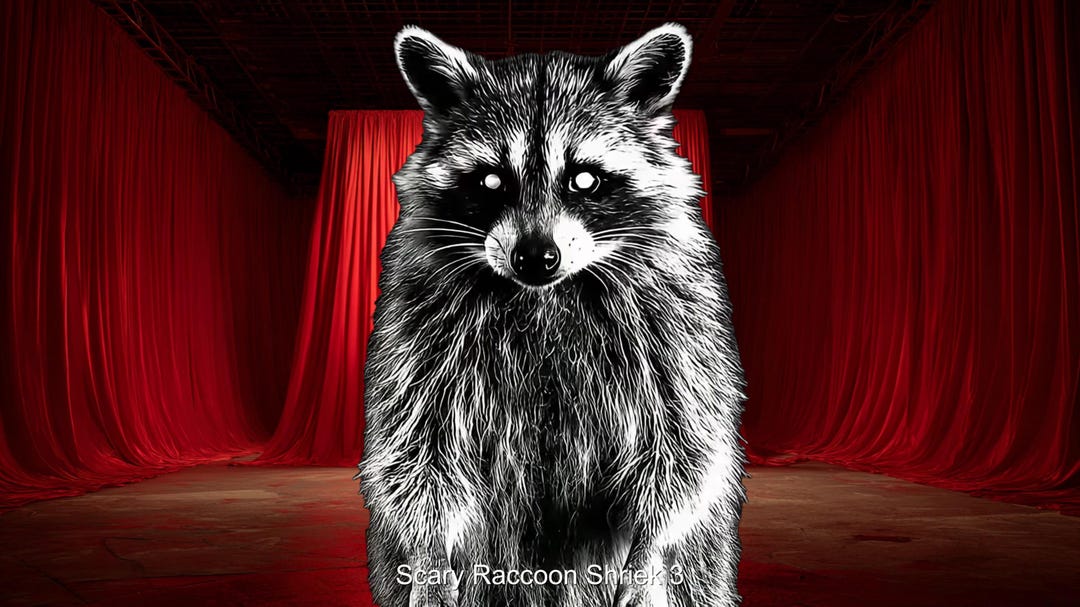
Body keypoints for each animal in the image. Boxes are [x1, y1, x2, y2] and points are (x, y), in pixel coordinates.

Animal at [358, 23, 747, 607]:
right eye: (492, 181)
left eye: (583, 179)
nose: (536, 256)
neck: (544, 296)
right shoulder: (419, 325)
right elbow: (415, 451)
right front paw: (428, 554)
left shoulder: (677, 325)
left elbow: (685, 448)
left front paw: (650, 550)